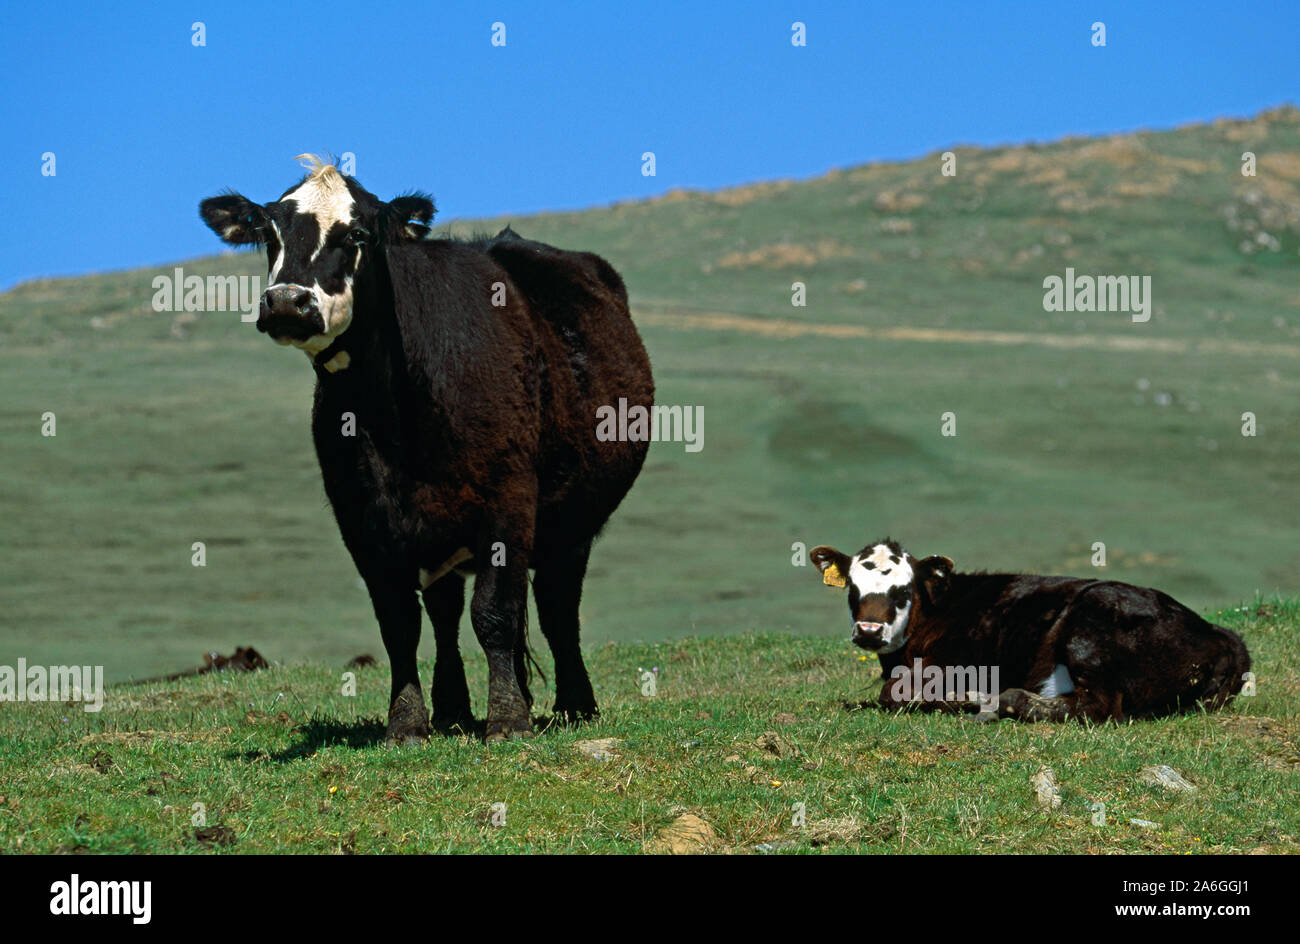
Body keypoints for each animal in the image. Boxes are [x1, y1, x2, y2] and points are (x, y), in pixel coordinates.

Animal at [198, 157, 655, 748]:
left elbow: (495, 613)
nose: (286, 302)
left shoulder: (508, 500)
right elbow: (400, 624)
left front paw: (508, 719)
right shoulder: (360, 518)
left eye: (357, 234)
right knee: (445, 612)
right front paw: (409, 723)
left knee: (556, 605)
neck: (394, 416)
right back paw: (454, 709)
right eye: (270, 233)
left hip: (571, 522)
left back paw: (575, 704)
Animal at [811, 540, 1248, 722]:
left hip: (1091, 628)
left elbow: (891, 694)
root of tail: (1218, 634)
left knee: (1096, 707)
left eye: (903, 591)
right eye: (853, 589)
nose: (869, 631)